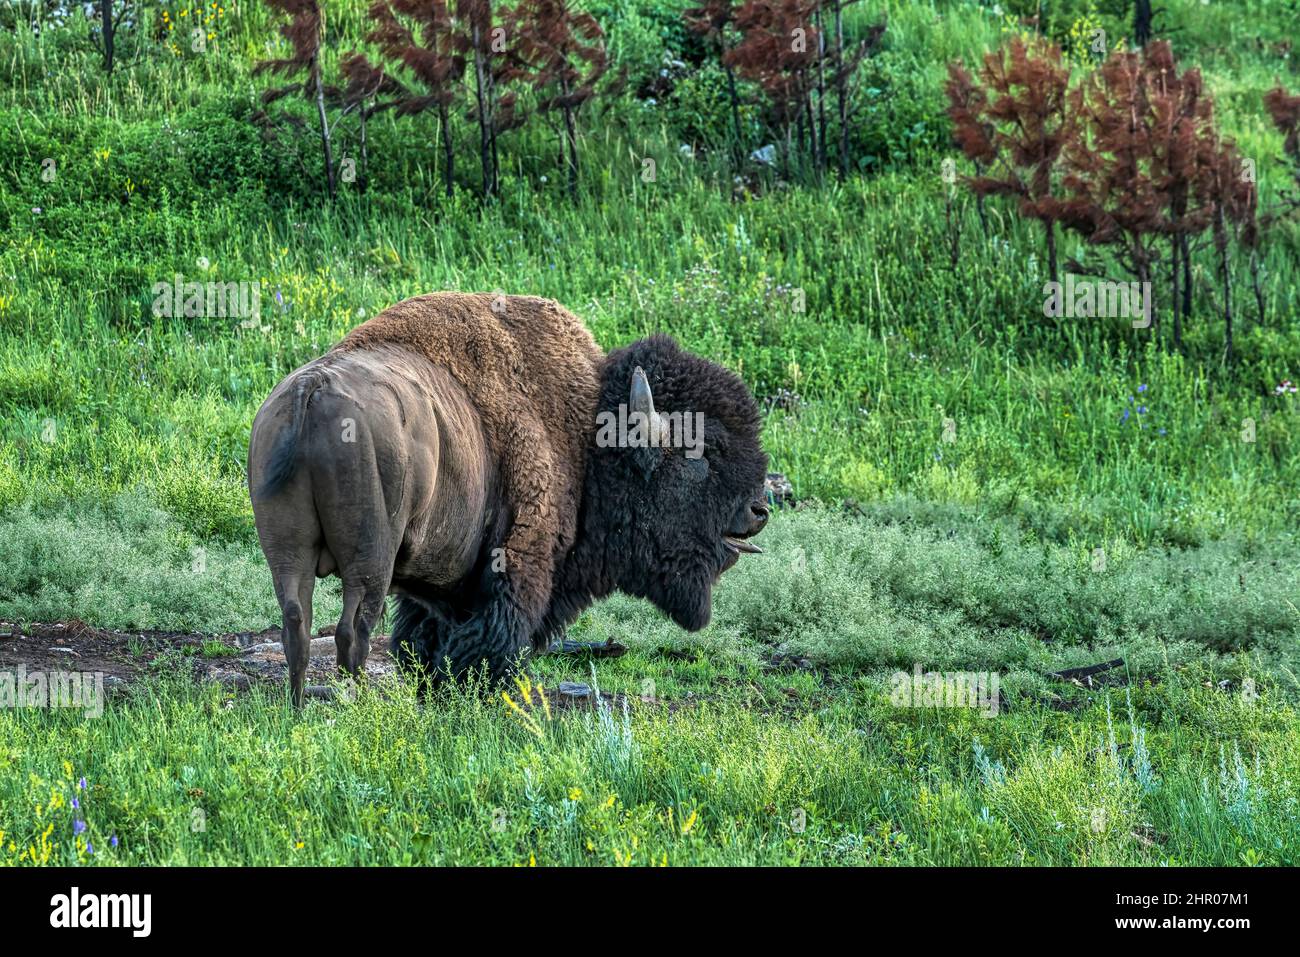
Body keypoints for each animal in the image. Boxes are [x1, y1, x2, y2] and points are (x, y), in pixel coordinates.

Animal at [248, 292, 769, 705]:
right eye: (703, 452)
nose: (759, 509)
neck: (586, 438)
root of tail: (310, 391)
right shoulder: (516, 565)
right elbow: (490, 642)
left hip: (287, 552)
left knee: (296, 621)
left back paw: (299, 707)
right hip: (370, 560)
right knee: (353, 627)